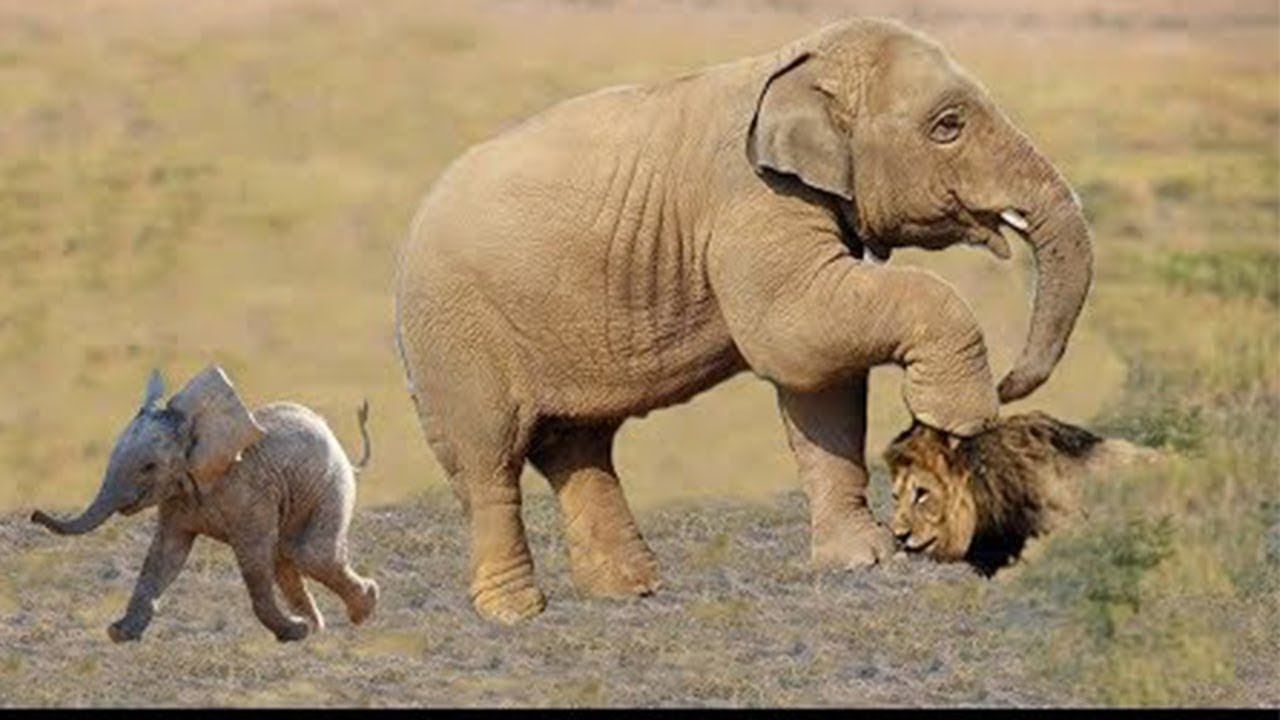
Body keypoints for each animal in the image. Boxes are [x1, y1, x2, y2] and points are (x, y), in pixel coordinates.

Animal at [30, 366, 379, 642]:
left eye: (149, 467)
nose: (34, 514)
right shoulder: (177, 497)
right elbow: (165, 554)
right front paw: (120, 634)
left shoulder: (249, 493)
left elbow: (254, 559)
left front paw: (293, 633)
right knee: (288, 556)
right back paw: (316, 629)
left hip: (331, 484)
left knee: (311, 553)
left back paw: (362, 610)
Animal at [394, 18, 1093, 624]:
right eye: (948, 125)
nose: (1009, 381)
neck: (790, 63)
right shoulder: (753, 199)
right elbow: (792, 336)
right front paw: (959, 421)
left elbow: (821, 383)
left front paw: (861, 561)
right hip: (453, 335)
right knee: (490, 464)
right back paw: (516, 614)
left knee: (578, 448)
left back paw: (632, 591)